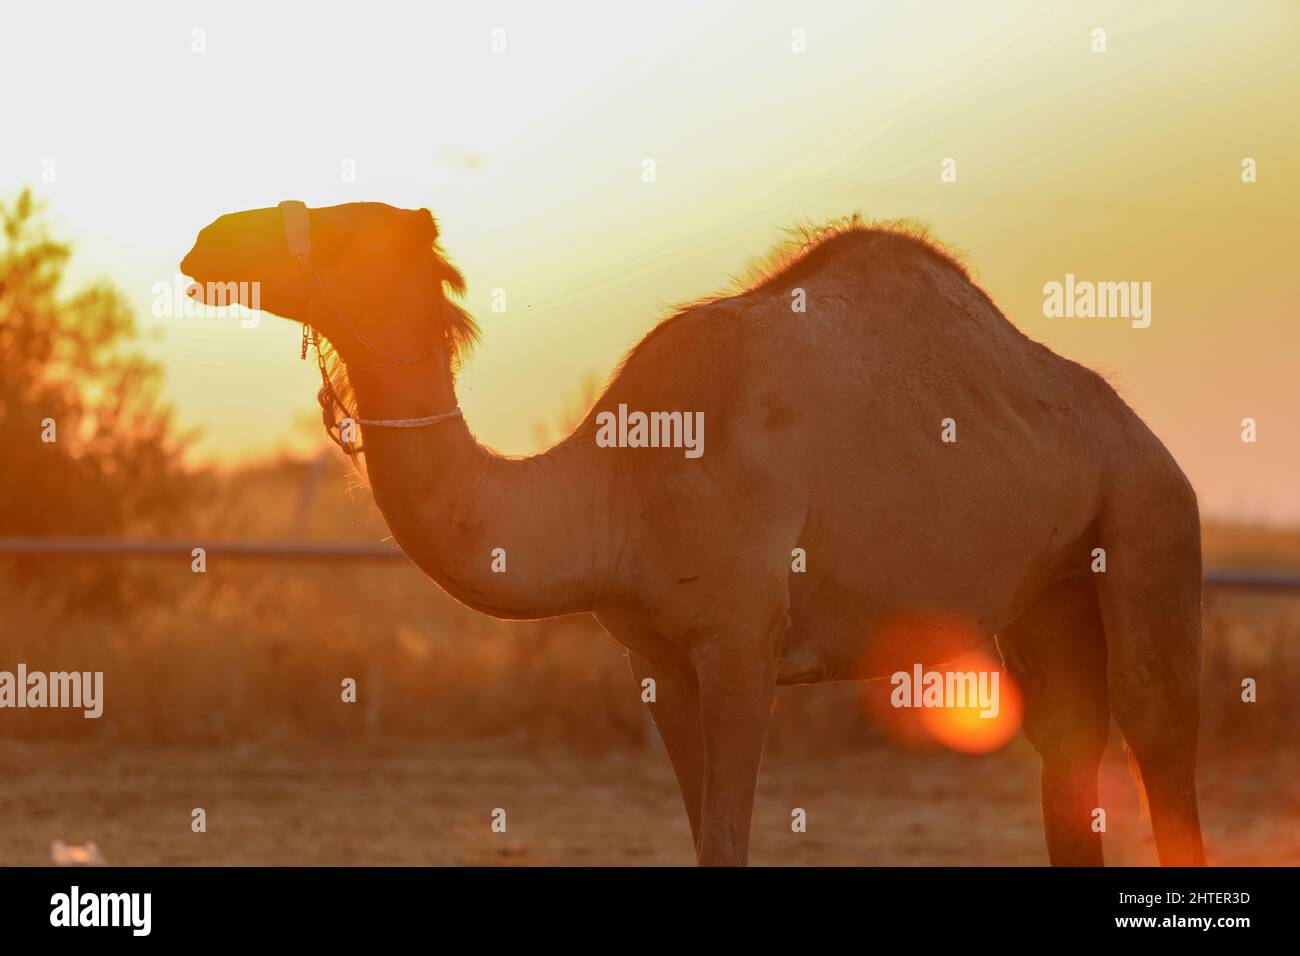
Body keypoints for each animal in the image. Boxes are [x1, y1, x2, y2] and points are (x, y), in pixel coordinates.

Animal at [180, 201, 1206, 867]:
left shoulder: (742, 640)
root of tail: (1136, 429)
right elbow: (700, 839)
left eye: (337, 224)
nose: (203, 239)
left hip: (1150, 513)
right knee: (1068, 747)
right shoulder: (658, 657)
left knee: (1158, 729)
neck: (617, 484)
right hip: (1047, 593)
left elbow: (728, 836)